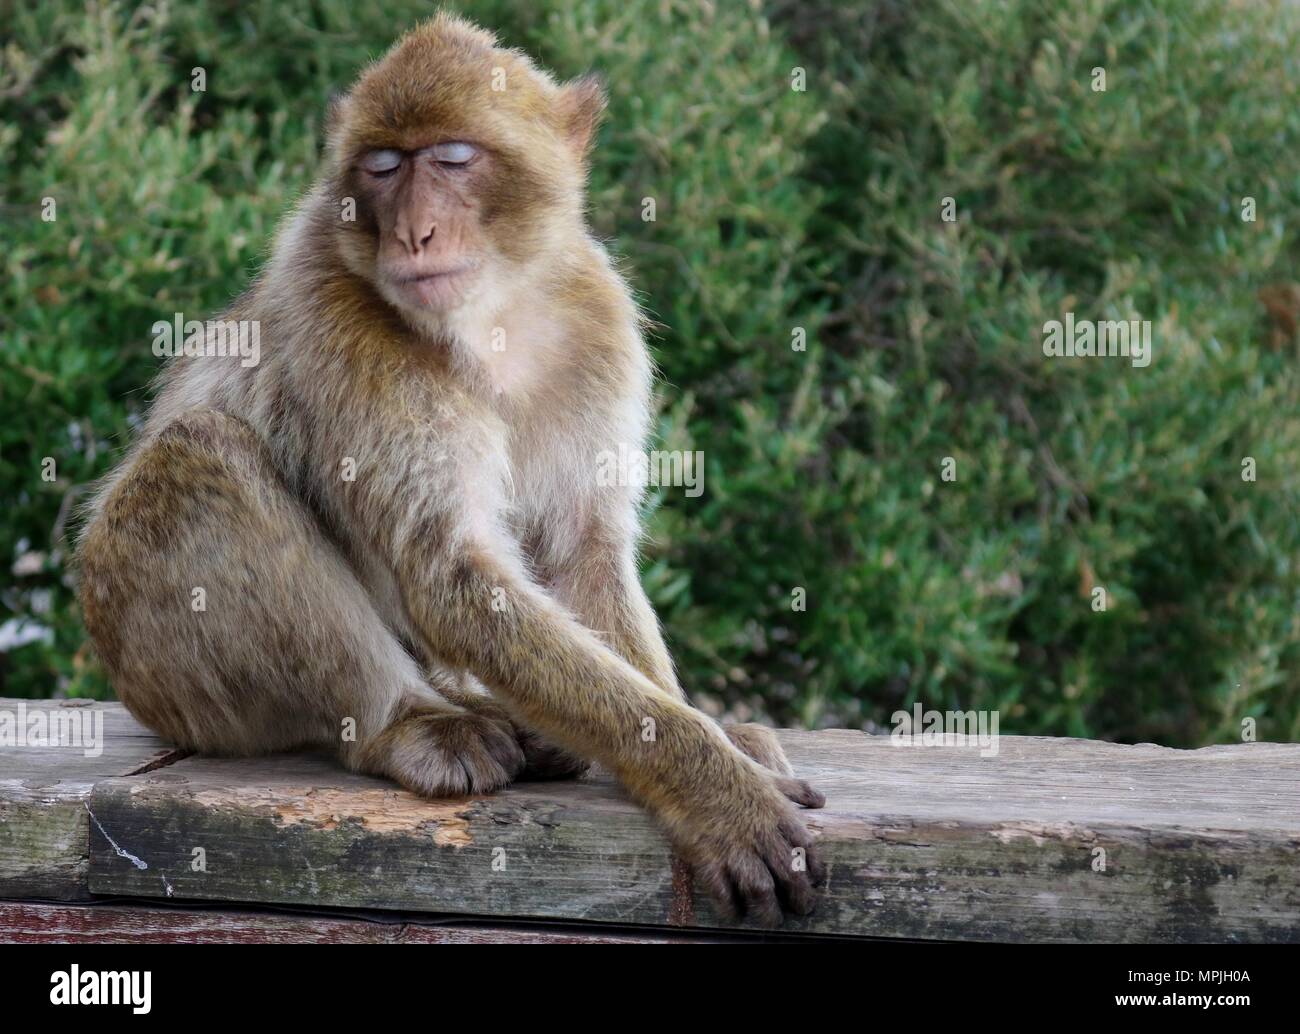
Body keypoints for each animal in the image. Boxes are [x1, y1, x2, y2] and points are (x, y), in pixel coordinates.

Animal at [77, 13, 824, 926]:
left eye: (454, 157)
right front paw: (721, 794)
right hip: (159, 666)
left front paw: (698, 734)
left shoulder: (599, 322)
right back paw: (408, 722)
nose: (412, 234)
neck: (493, 312)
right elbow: (453, 575)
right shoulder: (343, 317)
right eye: (383, 166)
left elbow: (585, 555)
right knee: (201, 454)